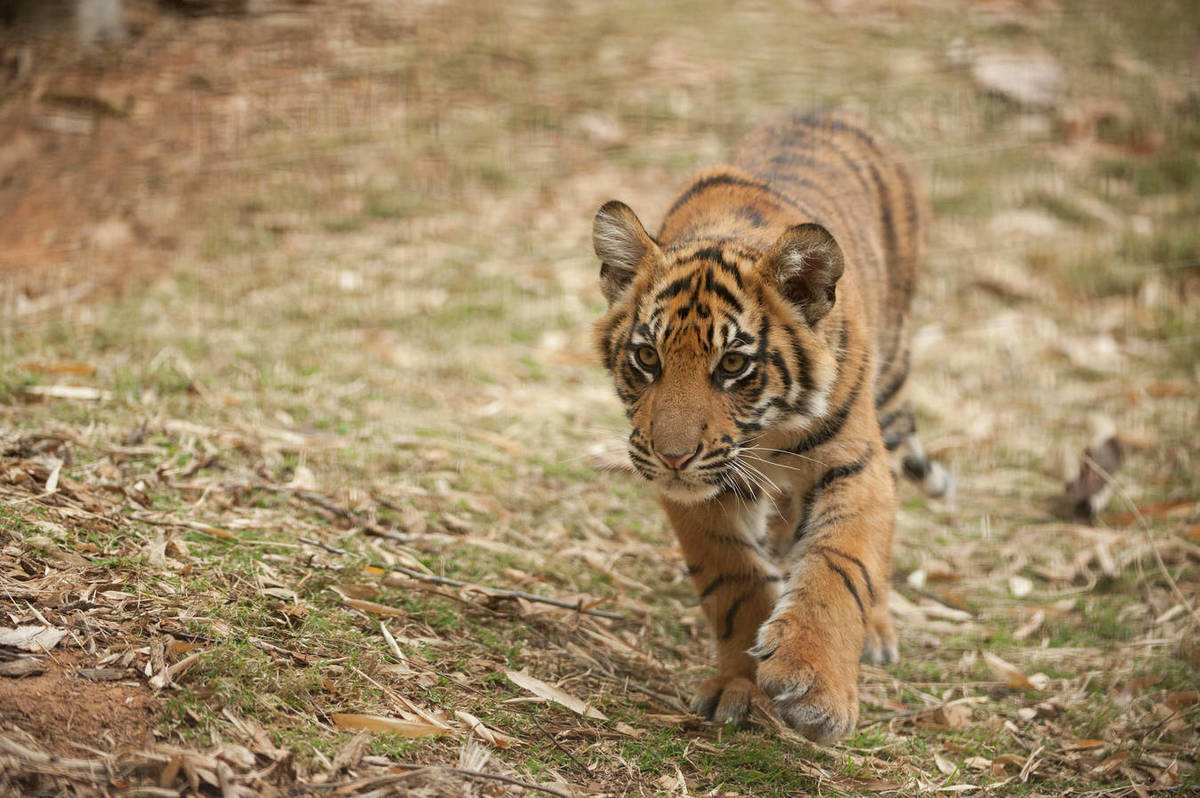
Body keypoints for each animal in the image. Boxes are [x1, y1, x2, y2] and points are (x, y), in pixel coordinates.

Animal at [590, 109, 951, 742]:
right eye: (648, 358)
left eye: (733, 365)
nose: (672, 457)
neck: (770, 436)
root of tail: (836, 110)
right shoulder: (701, 491)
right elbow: (732, 581)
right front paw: (741, 685)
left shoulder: (856, 468)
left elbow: (842, 569)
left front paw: (816, 686)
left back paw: (876, 632)